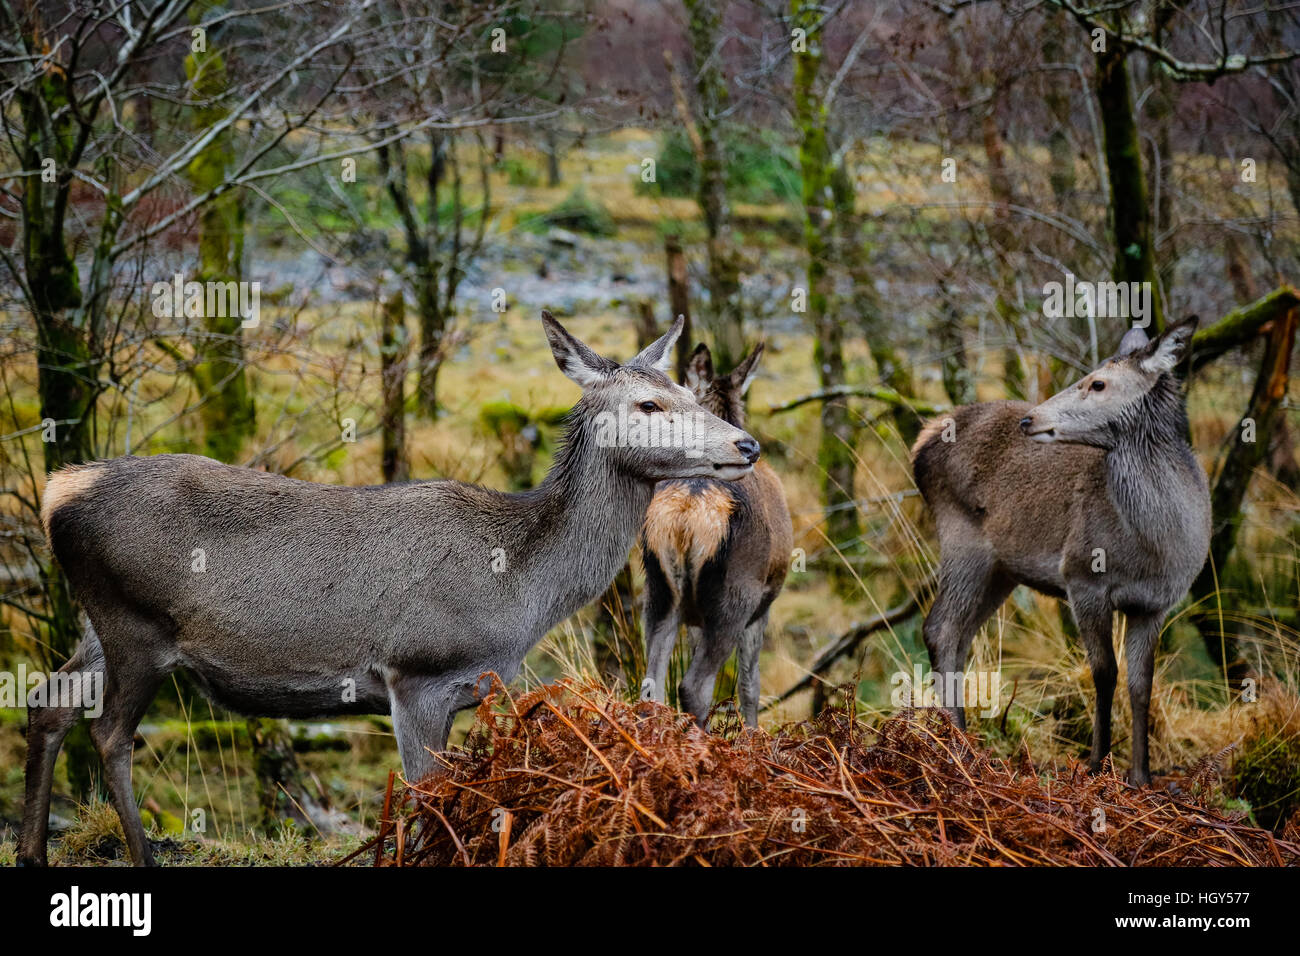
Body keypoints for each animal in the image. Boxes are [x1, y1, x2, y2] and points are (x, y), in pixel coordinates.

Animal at [20, 311, 763, 866]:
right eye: (649, 402)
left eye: (692, 394)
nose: (747, 444)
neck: (523, 586)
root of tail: (57, 491)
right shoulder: (418, 672)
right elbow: (425, 805)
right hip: (135, 624)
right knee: (108, 732)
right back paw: (141, 854)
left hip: (95, 622)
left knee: (47, 703)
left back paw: (31, 851)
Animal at [641, 342, 792, 728]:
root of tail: (687, 510)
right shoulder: (762, 606)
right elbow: (750, 684)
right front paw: (754, 734)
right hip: (735, 595)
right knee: (695, 685)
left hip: (659, 590)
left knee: (652, 685)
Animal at [910, 317, 1209, 786]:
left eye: (1098, 383)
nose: (1030, 419)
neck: (1157, 548)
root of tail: (921, 441)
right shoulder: (1083, 578)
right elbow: (1105, 673)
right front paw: (1097, 764)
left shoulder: (1155, 604)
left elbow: (1142, 684)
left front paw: (1141, 778)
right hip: (962, 540)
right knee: (939, 628)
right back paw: (957, 745)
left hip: (1001, 569)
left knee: (960, 636)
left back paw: (962, 738)